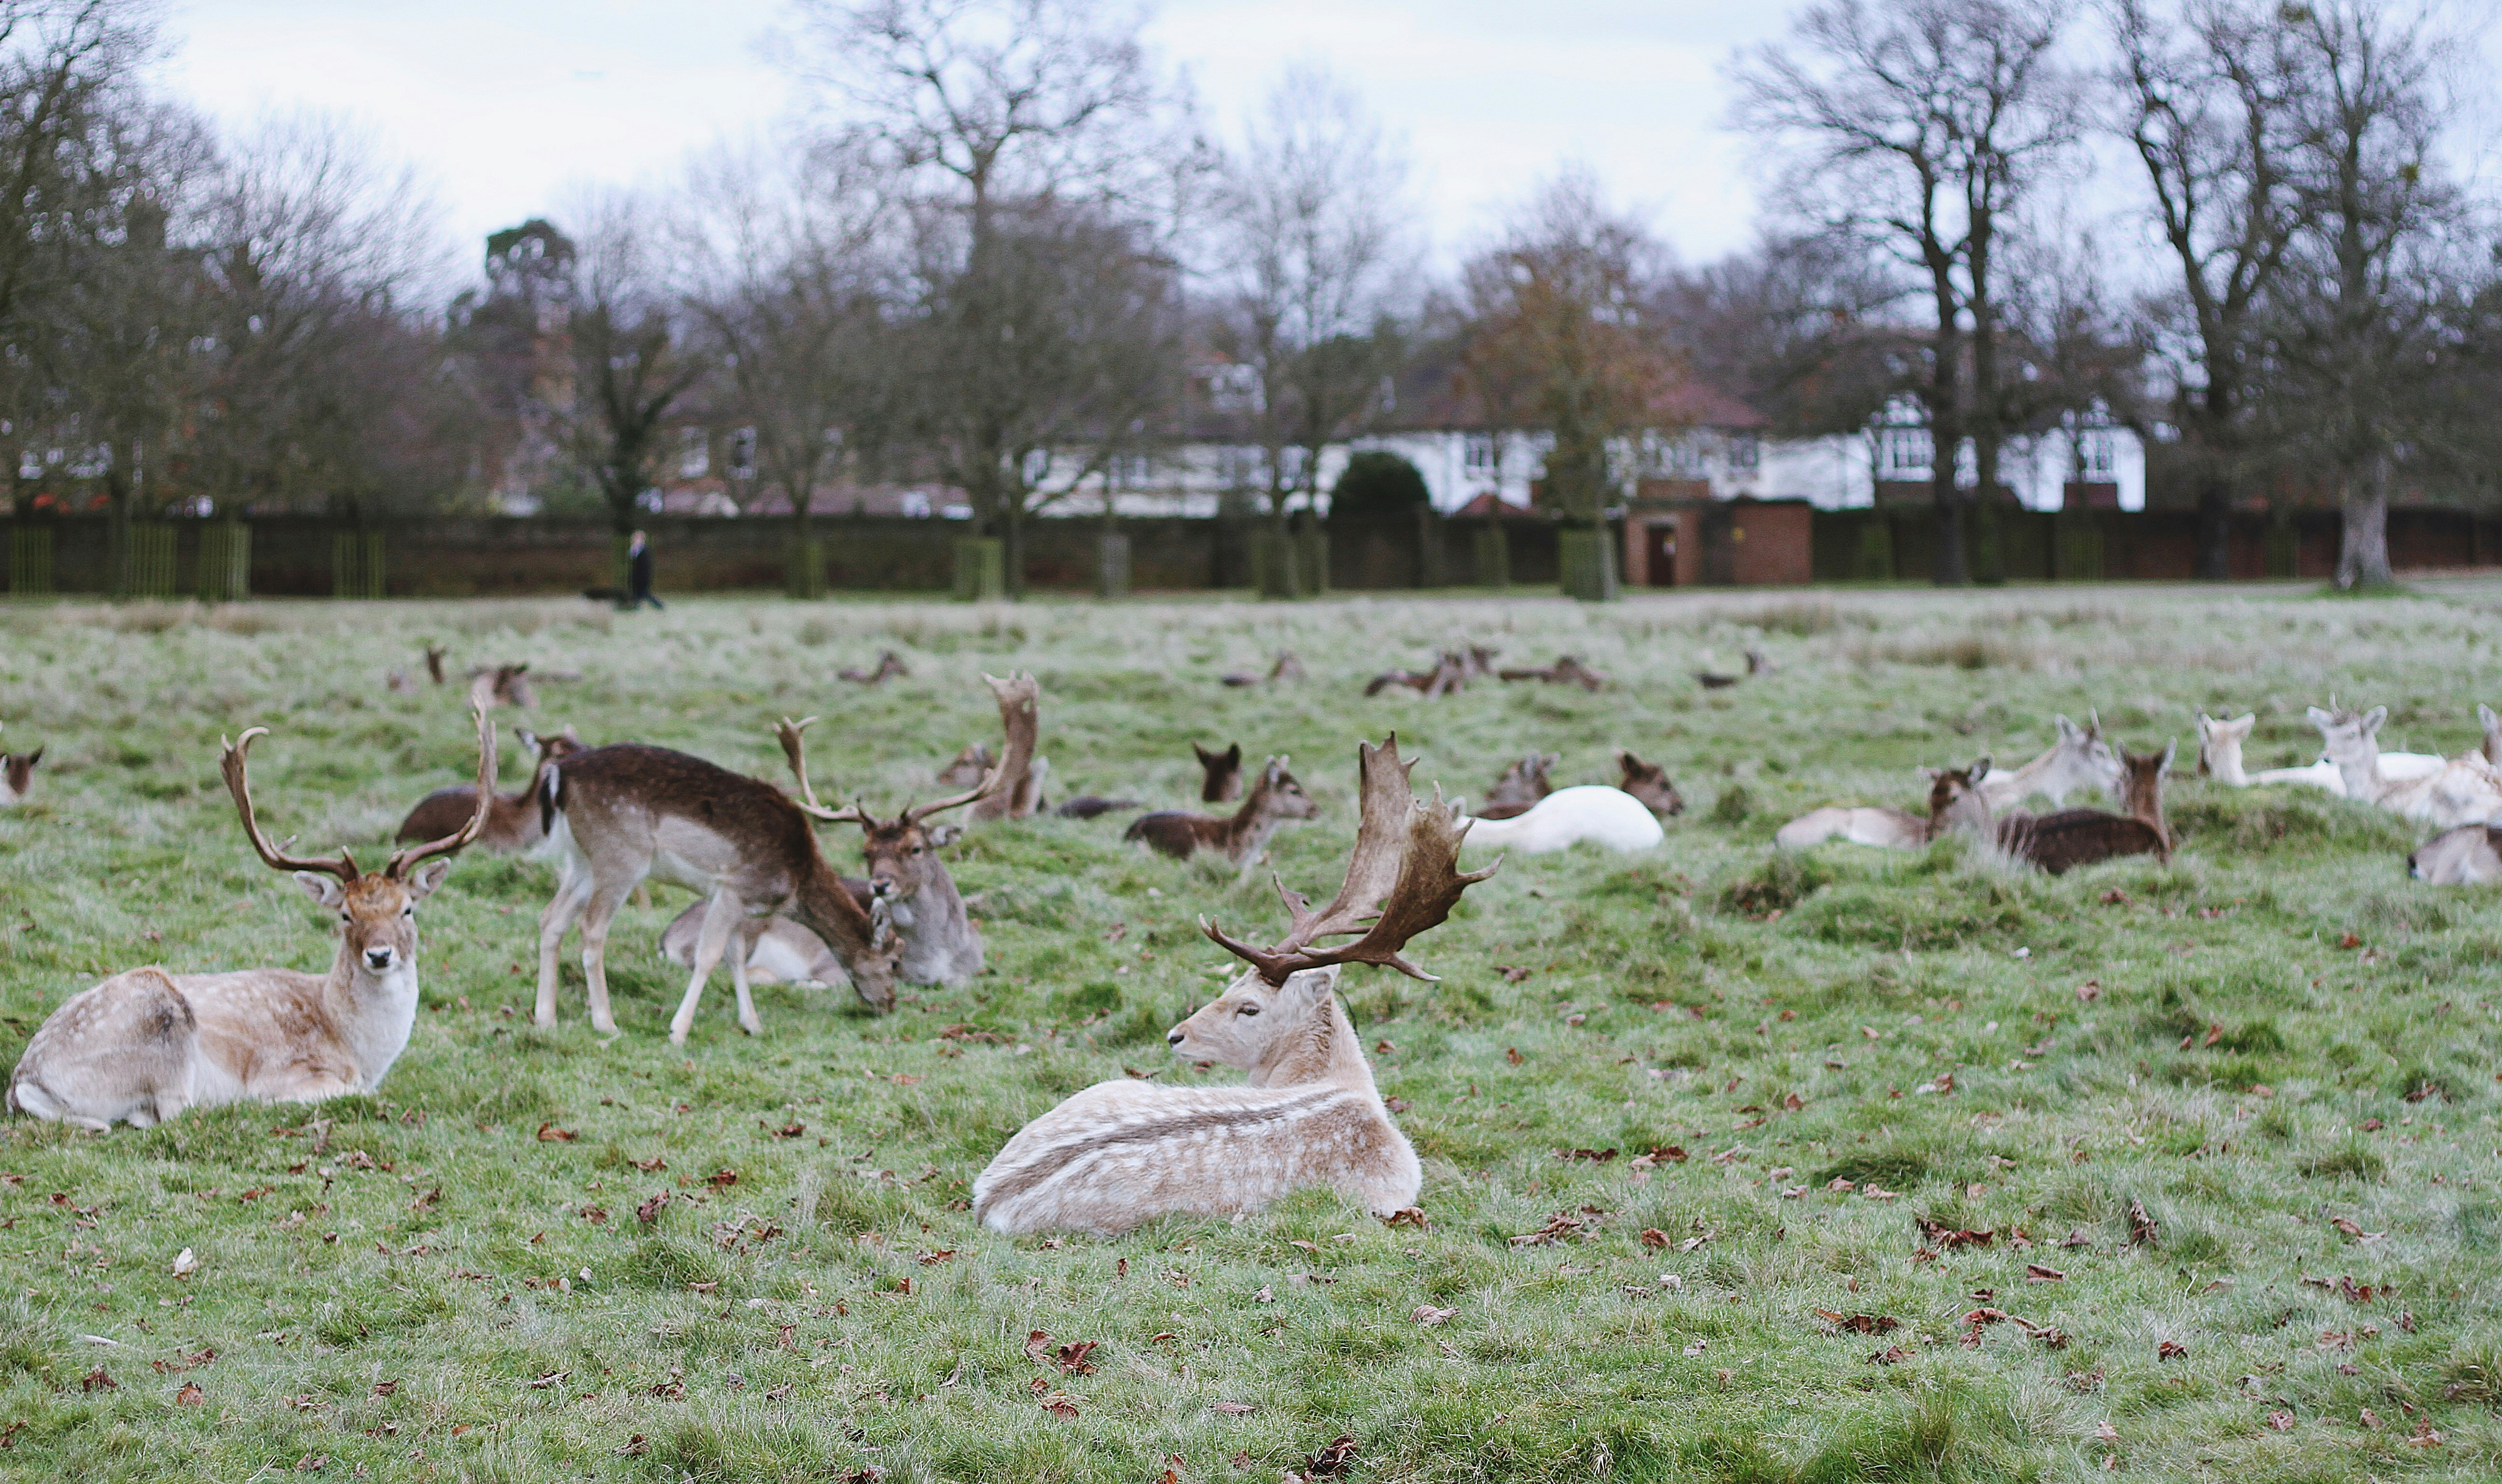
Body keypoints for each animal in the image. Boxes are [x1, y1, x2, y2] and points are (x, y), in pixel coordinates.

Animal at [6, 703, 496, 1129]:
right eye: (345, 914)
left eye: (407, 908)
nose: (379, 954)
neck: (356, 1045)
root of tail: (25, 1084)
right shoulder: (290, 1068)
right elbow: (347, 1091)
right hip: (161, 1026)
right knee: (167, 1112)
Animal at [534, 728, 905, 1042]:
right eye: (894, 962)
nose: (890, 1003)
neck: (797, 881)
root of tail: (559, 776)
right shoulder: (734, 889)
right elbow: (709, 957)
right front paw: (678, 1031)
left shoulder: (738, 902)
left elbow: (736, 957)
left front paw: (753, 1024)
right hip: (620, 856)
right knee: (592, 928)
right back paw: (606, 1024)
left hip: (581, 861)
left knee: (551, 918)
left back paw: (546, 1019)